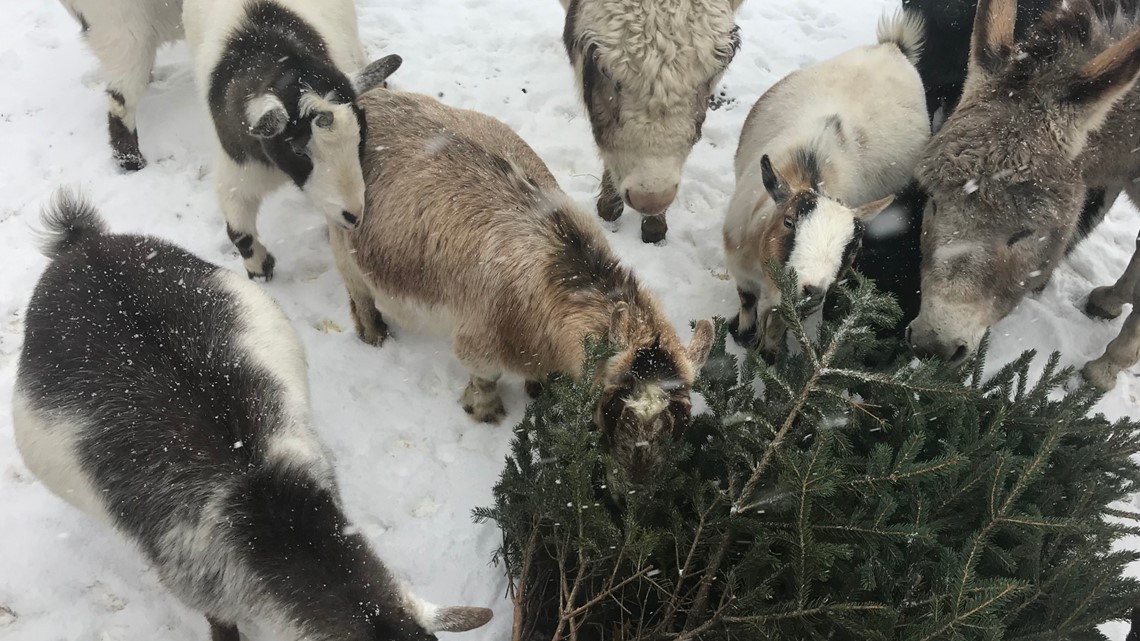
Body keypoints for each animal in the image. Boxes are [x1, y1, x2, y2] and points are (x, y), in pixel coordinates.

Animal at [183, 0, 402, 280]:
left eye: (361, 137)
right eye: (298, 151)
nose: (354, 216)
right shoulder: (239, 167)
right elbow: (239, 230)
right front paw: (259, 267)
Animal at [329, 83, 714, 483]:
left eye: (680, 420)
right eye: (613, 408)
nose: (636, 482)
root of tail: (371, 97)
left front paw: (537, 388)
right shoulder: (478, 341)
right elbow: (486, 376)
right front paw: (487, 411)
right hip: (344, 242)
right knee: (360, 295)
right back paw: (374, 335)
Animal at [722, 11, 928, 360]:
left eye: (853, 245)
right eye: (789, 221)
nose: (812, 289)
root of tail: (892, 48)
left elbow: (777, 322)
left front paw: (769, 354)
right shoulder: (740, 268)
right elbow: (747, 301)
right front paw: (743, 333)